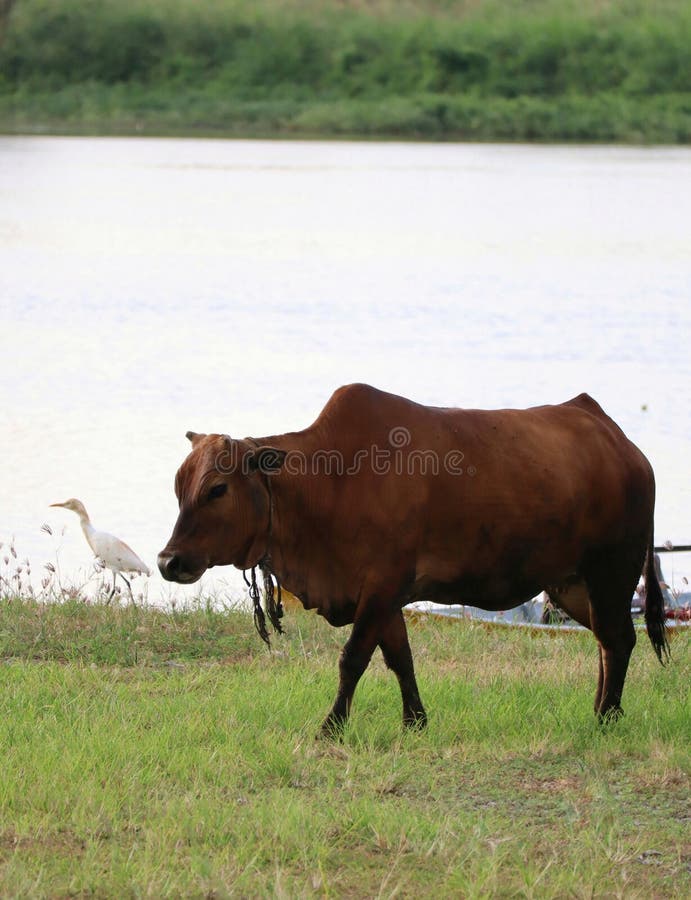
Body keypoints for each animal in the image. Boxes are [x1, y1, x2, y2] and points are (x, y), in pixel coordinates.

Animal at [158, 383, 669, 736]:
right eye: (180, 485)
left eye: (217, 488)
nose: (168, 561)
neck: (329, 480)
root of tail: (617, 438)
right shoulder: (384, 596)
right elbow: (400, 658)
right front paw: (415, 722)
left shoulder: (382, 585)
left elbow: (353, 658)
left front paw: (331, 728)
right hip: (571, 584)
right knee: (606, 642)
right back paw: (601, 709)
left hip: (611, 572)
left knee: (620, 639)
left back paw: (607, 718)